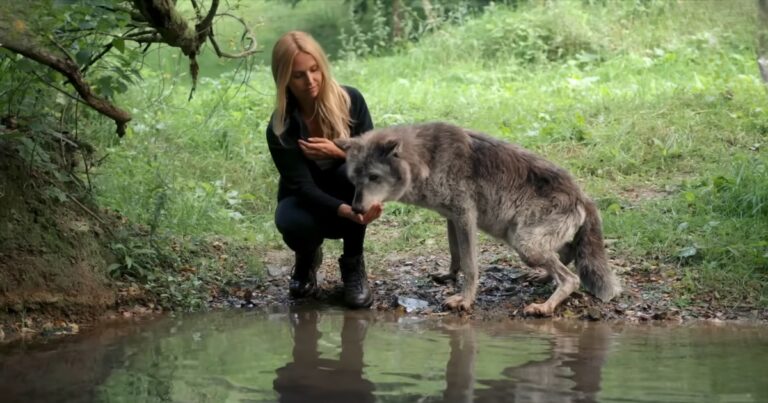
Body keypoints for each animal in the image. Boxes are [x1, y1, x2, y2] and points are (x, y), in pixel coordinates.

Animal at [335, 122, 621, 316]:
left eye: (374, 177)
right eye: (354, 179)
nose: (356, 208)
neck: (428, 159)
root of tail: (583, 195)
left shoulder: (465, 217)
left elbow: (470, 265)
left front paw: (464, 300)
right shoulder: (450, 217)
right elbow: (455, 255)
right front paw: (449, 276)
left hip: (523, 242)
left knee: (571, 278)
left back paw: (545, 306)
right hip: (525, 242)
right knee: (568, 252)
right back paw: (542, 278)